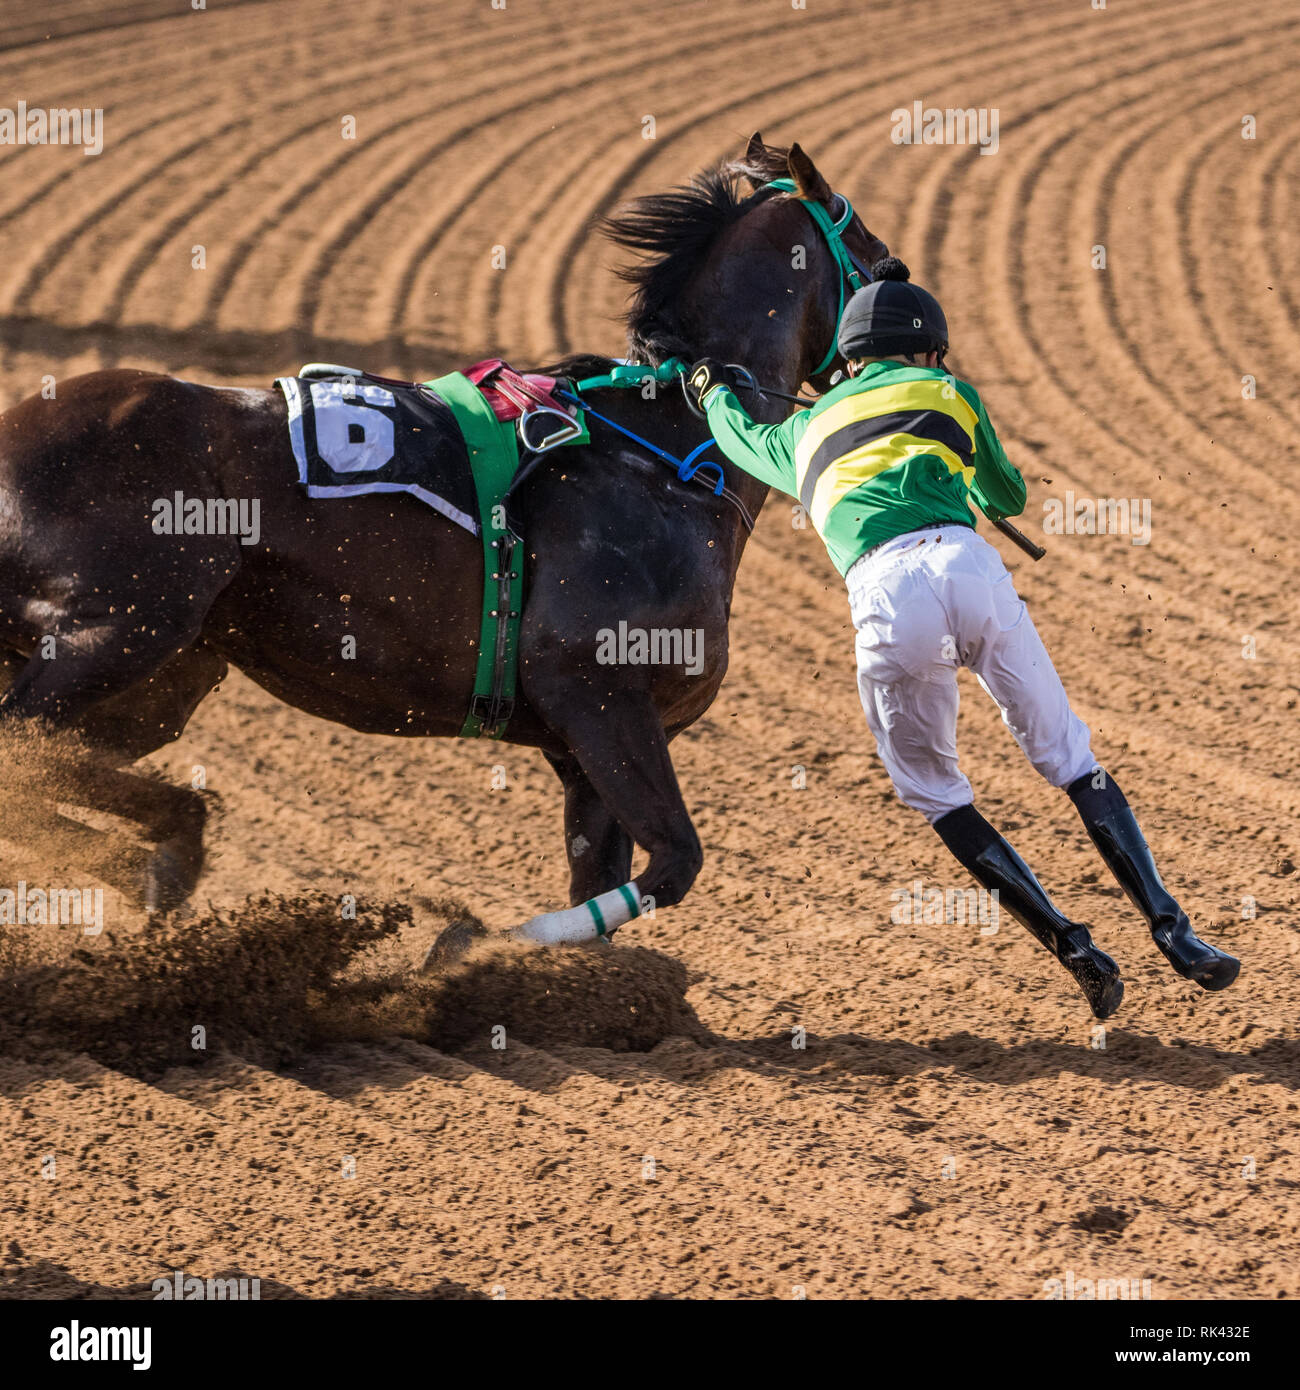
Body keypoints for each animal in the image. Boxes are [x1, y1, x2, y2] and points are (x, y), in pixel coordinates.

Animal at [0, 135, 888, 943]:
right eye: (872, 247)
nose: (904, 284)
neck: (667, 455)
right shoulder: (595, 694)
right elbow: (675, 861)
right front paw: (473, 949)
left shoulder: (588, 750)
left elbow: (602, 886)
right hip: (119, 629)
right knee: (20, 753)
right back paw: (160, 851)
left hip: (168, 673)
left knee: (55, 764)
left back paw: (166, 844)